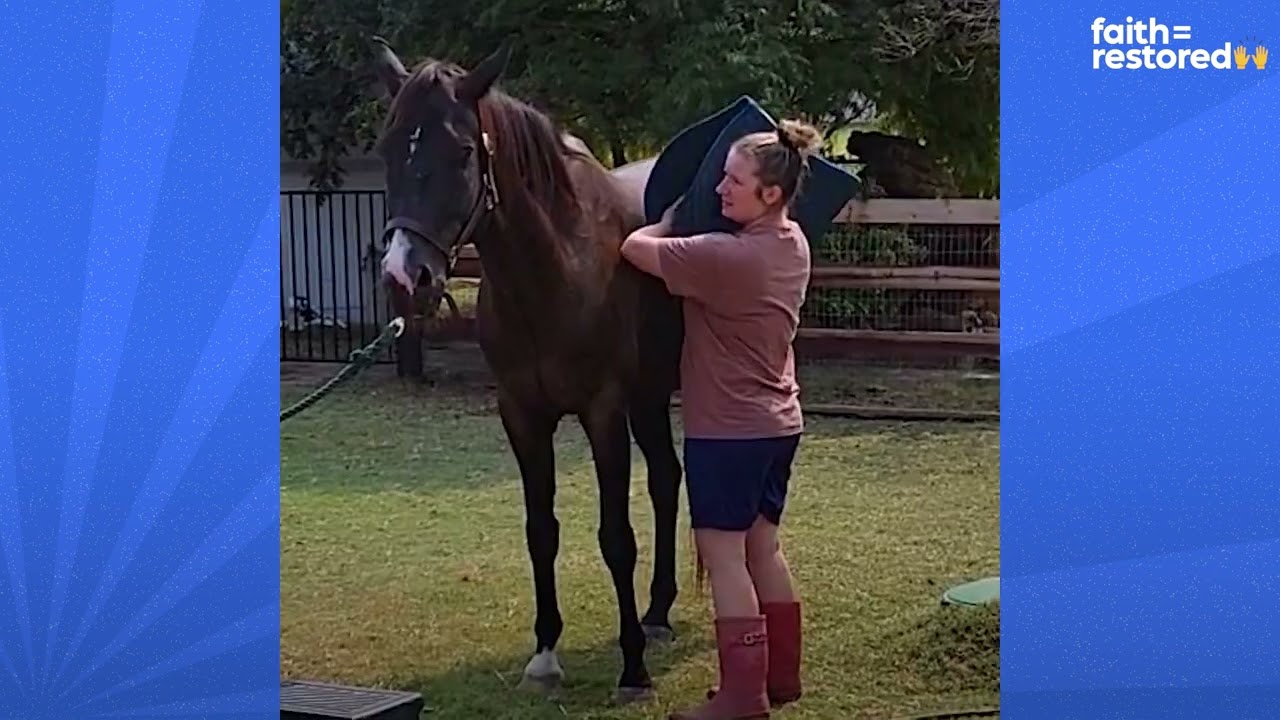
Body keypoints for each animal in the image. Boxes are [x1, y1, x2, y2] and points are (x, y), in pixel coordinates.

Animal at [368, 38, 686, 703]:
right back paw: (657, 612)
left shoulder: (603, 410)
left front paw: (633, 669)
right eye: (387, 149)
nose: (405, 277)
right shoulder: (521, 414)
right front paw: (544, 656)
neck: (558, 266)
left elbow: (615, 537)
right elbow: (541, 530)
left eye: (462, 151)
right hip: (648, 397)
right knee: (667, 480)